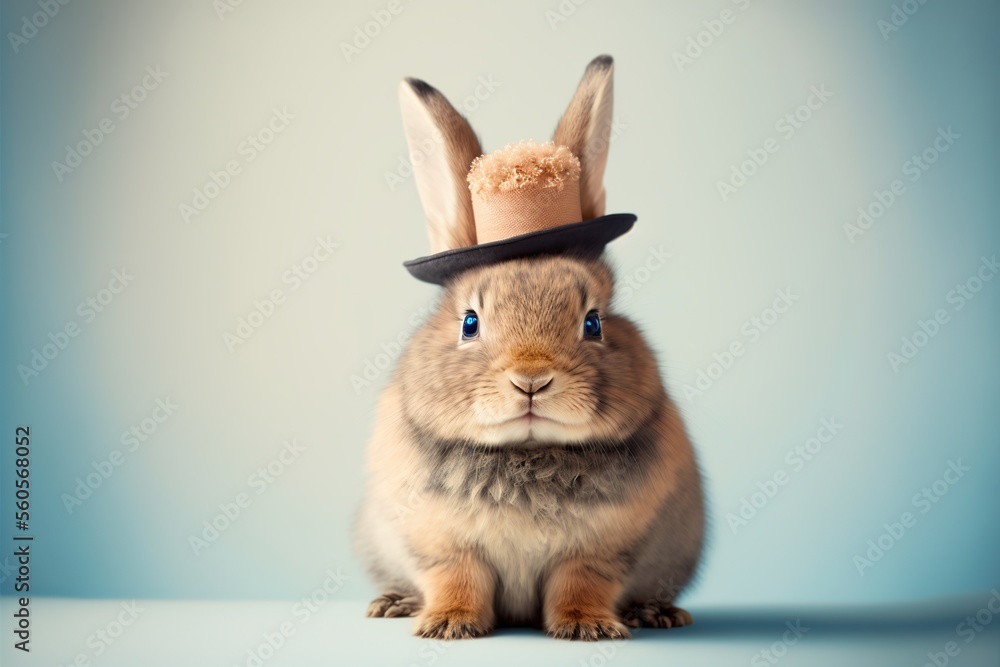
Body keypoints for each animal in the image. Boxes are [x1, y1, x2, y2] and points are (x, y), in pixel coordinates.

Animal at [353, 55, 705, 641]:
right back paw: (394, 604)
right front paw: (447, 624)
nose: (532, 380)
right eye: (470, 323)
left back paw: (656, 614)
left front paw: (588, 628)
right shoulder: (442, 544)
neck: (526, 453)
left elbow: (580, 585)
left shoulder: (601, 552)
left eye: (594, 323)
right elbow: (456, 579)